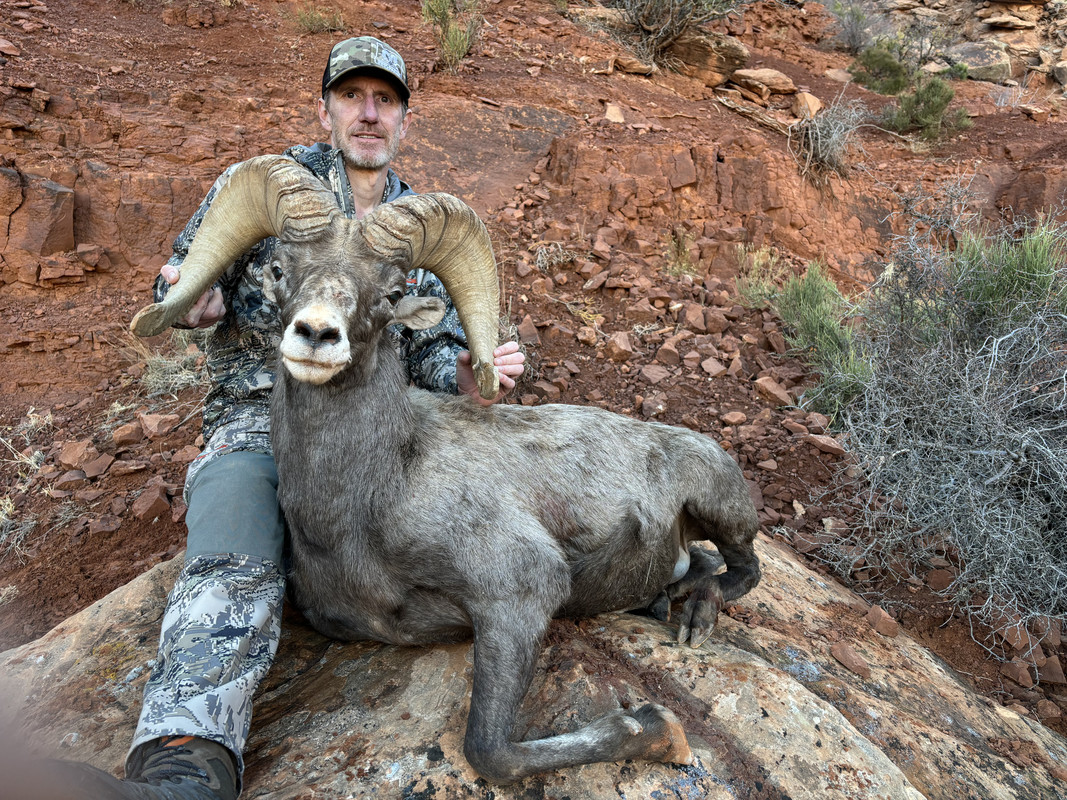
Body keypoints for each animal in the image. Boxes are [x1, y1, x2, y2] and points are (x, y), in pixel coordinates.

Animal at [131, 154, 761, 784]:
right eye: (281, 269)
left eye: (390, 292)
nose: (315, 335)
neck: (367, 503)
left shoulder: (520, 593)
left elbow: (489, 749)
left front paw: (660, 733)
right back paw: (670, 602)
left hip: (722, 505)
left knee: (744, 570)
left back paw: (696, 616)